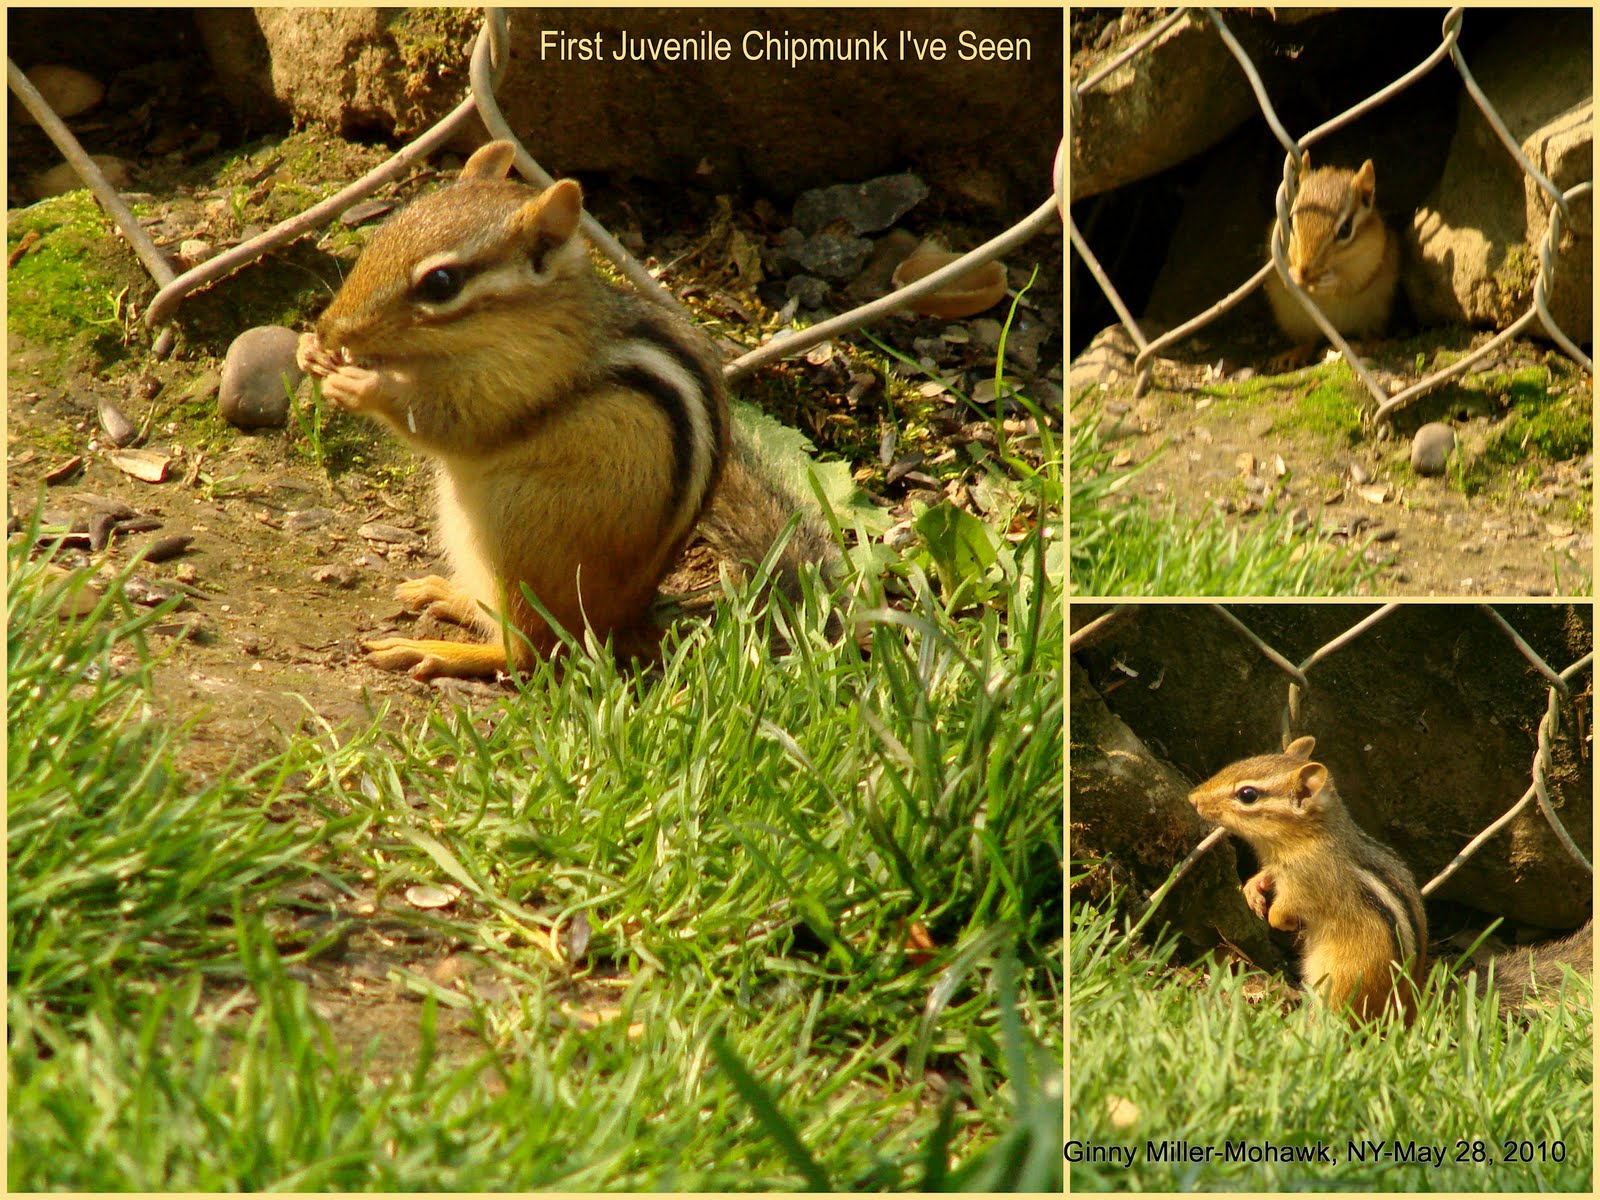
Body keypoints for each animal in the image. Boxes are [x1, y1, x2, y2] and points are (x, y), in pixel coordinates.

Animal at [297, 140, 836, 680]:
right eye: (385, 232)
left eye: (442, 282)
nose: (330, 328)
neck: (529, 317)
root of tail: (619, 622)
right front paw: (309, 351)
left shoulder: (524, 379)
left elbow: (452, 423)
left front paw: (362, 384)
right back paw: (450, 595)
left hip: (519, 539)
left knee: (530, 652)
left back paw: (436, 650)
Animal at [1188, 735, 1427, 1025]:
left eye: (1248, 795)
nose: (1193, 799)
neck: (1311, 836)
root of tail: (1407, 1007)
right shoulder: (1278, 867)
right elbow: (1266, 875)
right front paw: (1252, 891)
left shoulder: (1308, 883)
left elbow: (1290, 907)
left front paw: (1279, 921)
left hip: (1343, 980)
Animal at [1264, 156, 1401, 369]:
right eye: (1290, 220)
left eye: (1345, 229)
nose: (1304, 270)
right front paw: (1293, 275)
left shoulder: (1371, 257)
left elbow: (1352, 283)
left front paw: (1330, 281)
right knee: (1308, 341)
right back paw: (1292, 355)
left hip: (1374, 313)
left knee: (1367, 332)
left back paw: (1376, 344)